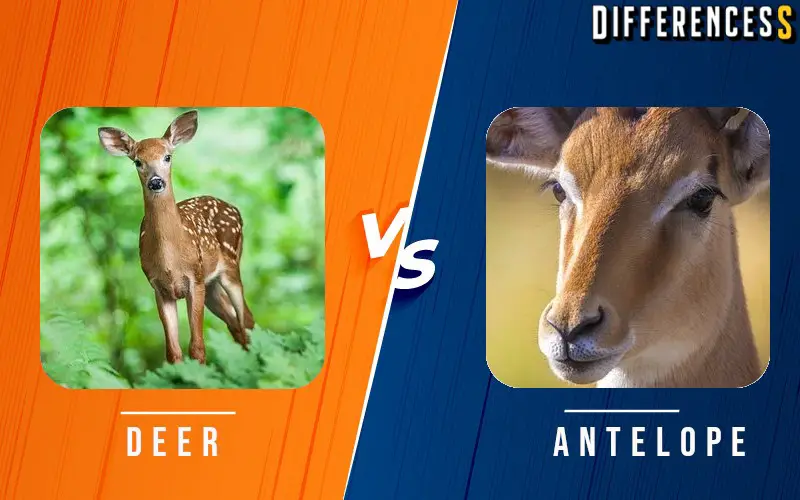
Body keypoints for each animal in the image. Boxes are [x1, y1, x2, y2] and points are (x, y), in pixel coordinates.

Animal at [98, 110, 255, 364]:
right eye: (137, 161)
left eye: (167, 157)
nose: (156, 182)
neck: (170, 260)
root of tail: (235, 209)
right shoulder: (159, 288)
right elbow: (173, 351)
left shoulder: (195, 279)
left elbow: (197, 347)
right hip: (211, 286)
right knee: (235, 323)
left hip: (230, 266)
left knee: (246, 320)